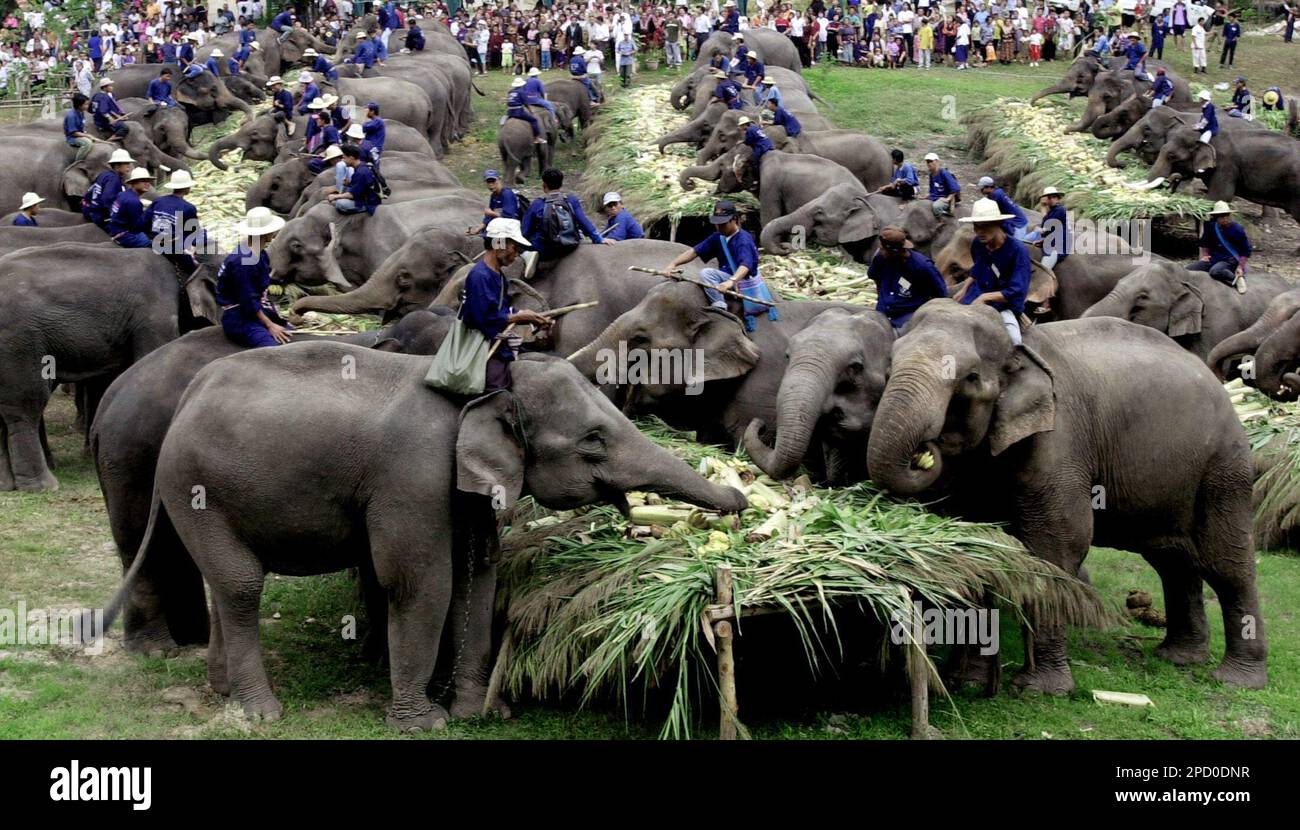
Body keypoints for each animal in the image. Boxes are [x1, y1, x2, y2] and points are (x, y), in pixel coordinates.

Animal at [0, 243, 219, 491]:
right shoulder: (154, 315)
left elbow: (106, 383)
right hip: (19, 341)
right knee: (25, 406)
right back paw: (44, 485)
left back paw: (6, 484)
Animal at [97, 349, 744, 728]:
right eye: (592, 441)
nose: (739, 504)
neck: (485, 383)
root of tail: (187, 397)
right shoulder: (411, 475)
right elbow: (419, 582)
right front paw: (424, 723)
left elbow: (478, 578)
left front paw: (485, 712)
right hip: (193, 485)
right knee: (240, 584)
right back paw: (260, 713)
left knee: (223, 582)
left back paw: (223, 693)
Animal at [866, 302, 1267, 692]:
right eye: (891, 364)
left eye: (971, 378)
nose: (926, 450)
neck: (1018, 345)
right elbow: (976, 550)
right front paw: (965, 682)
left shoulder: (1060, 441)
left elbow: (1057, 547)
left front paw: (1039, 689)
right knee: (1172, 560)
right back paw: (1180, 657)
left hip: (1223, 469)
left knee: (1226, 564)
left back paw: (1236, 679)